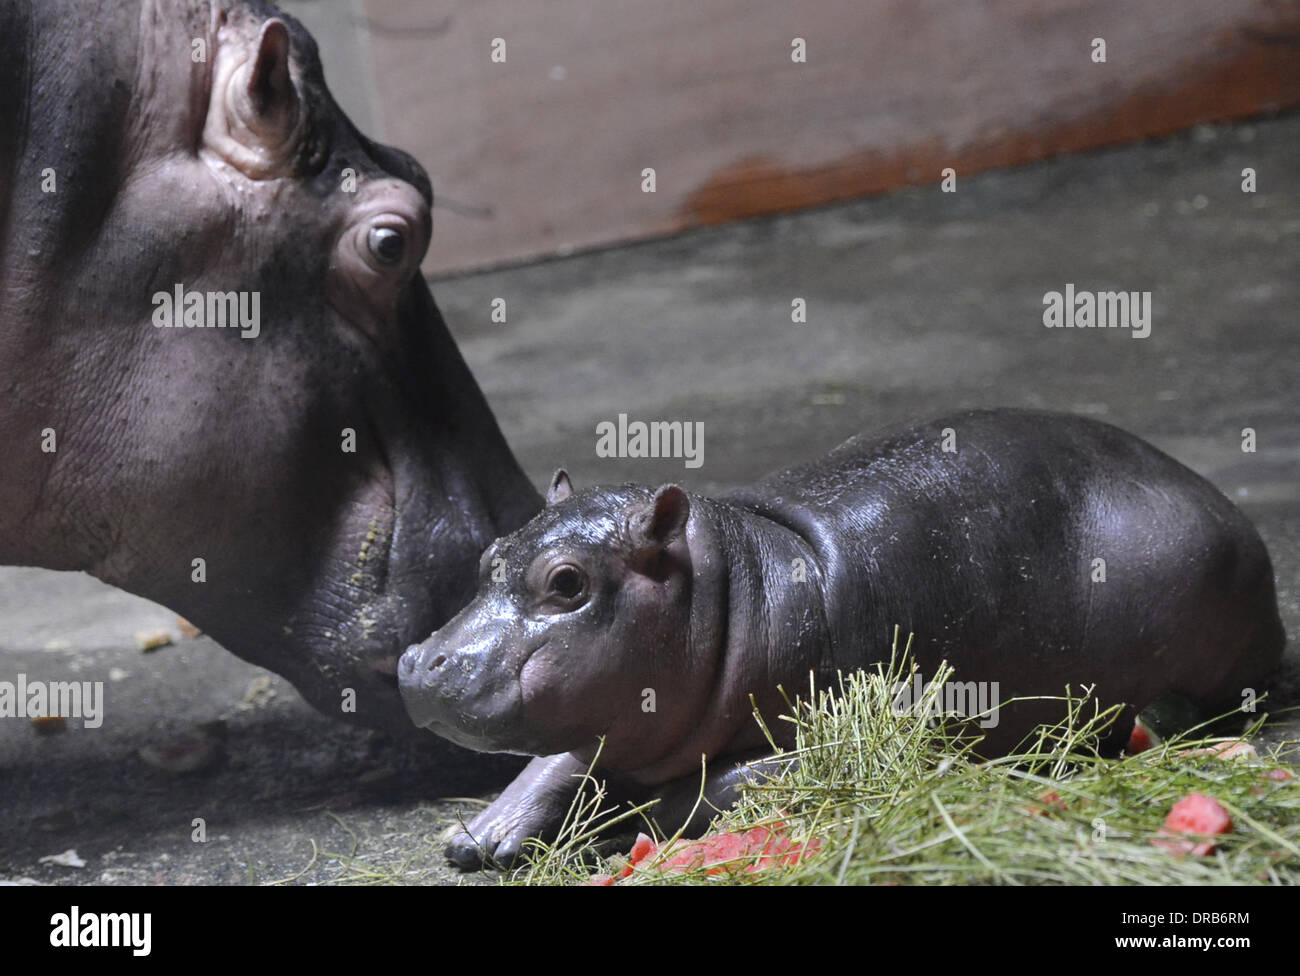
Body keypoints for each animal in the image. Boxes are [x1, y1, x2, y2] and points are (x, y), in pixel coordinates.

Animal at [399, 408, 1286, 867]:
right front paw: (476, 836)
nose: (419, 663)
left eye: (568, 583)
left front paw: (636, 813)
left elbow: (721, 784)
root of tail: (1214, 497)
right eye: (488, 554)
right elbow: (565, 758)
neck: (739, 582)